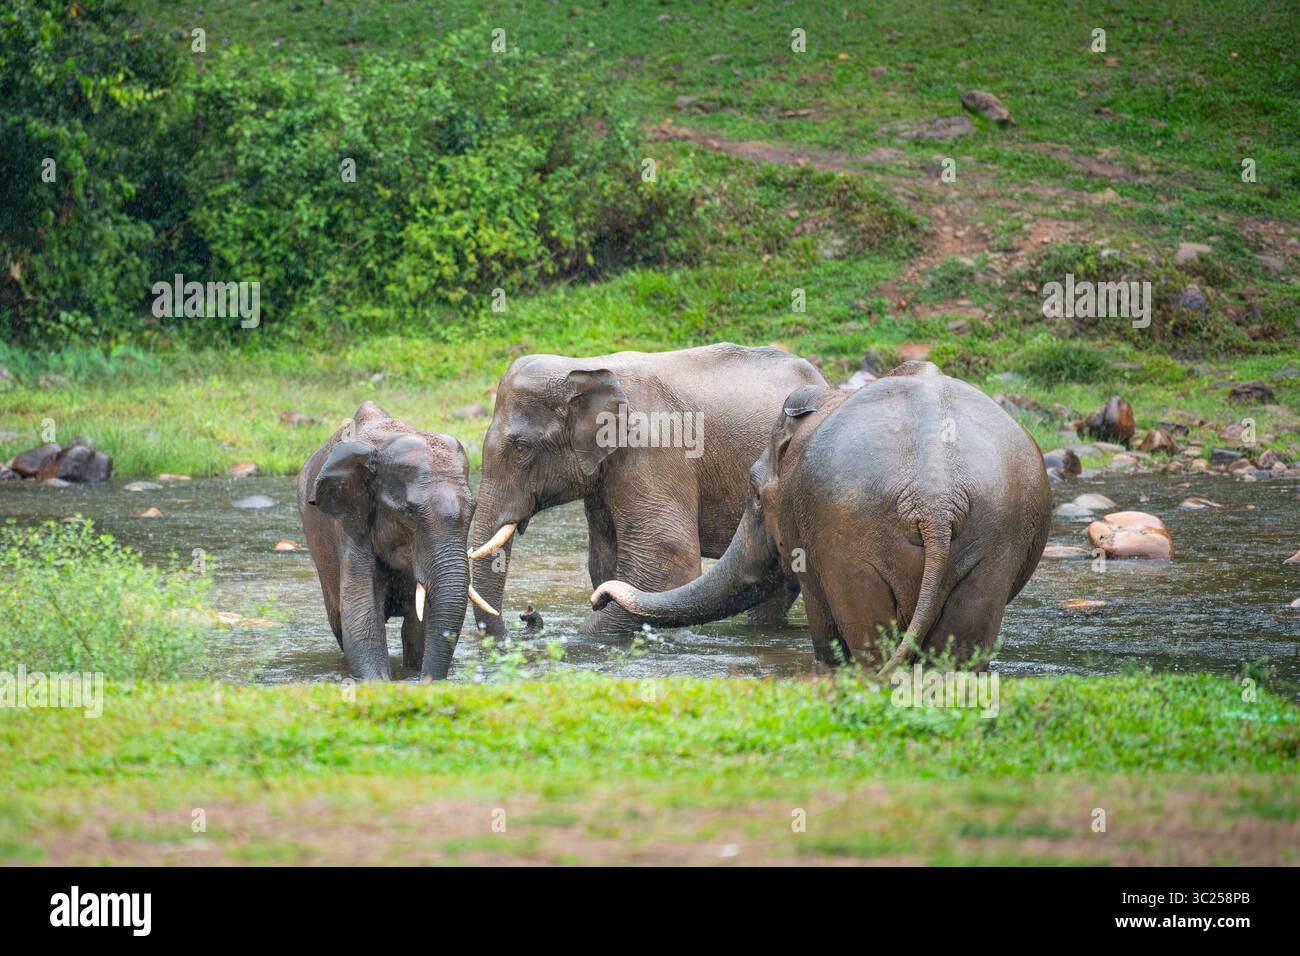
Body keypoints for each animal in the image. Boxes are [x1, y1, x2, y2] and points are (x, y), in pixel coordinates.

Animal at [297, 401, 492, 680]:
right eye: (408, 513)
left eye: (473, 509)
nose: (426, 682)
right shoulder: (351, 524)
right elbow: (362, 618)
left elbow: (418, 627)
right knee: (339, 625)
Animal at [468, 343, 827, 636]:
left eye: (521, 448)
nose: (529, 614)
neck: (586, 366)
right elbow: (604, 560)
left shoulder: (653, 450)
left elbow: (668, 558)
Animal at [591, 362, 1052, 671]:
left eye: (754, 492)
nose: (597, 598)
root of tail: (936, 498)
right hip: (993, 541)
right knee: (961, 650)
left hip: (850, 544)